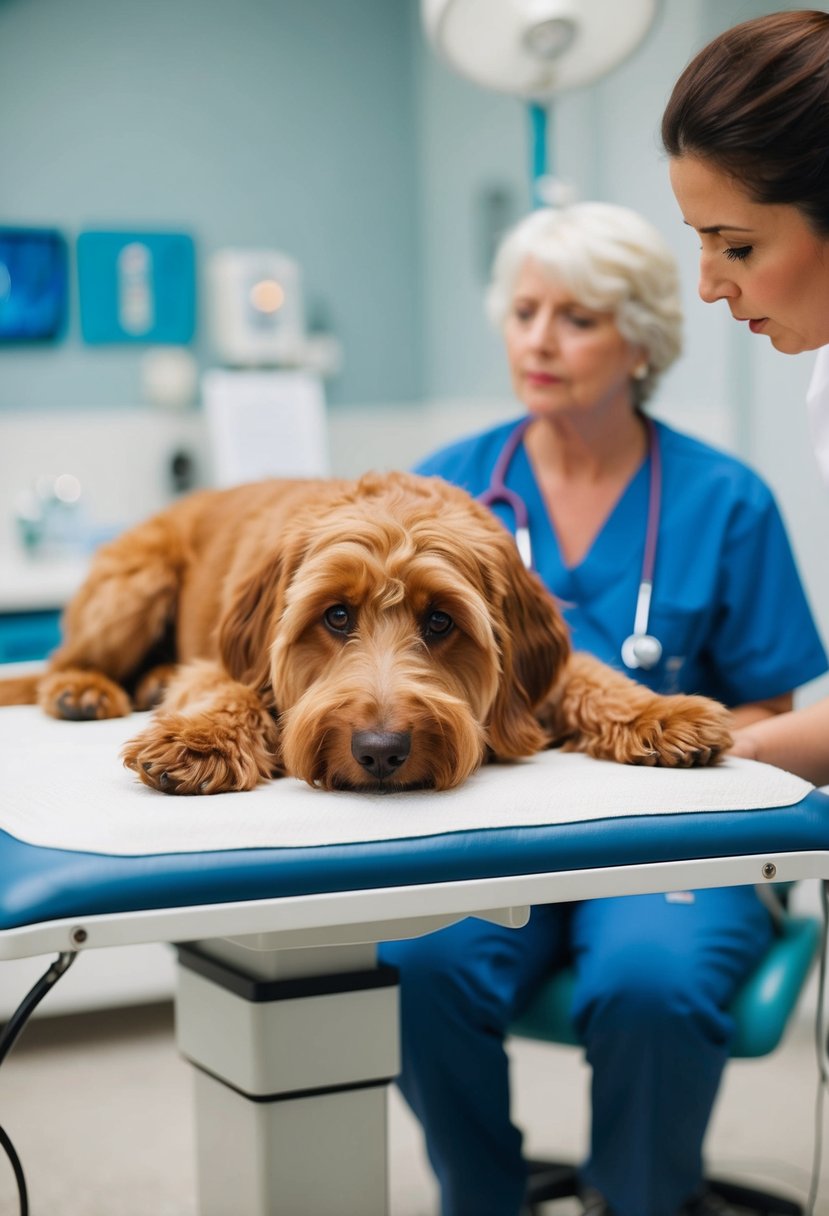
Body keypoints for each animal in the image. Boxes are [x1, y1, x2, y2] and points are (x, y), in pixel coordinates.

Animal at [0, 469, 729, 792]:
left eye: (440, 620)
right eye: (336, 615)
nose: (381, 751)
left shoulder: (534, 671)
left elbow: (593, 675)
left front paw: (663, 714)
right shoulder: (224, 663)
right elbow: (229, 692)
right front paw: (199, 740)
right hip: (134, 582)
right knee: (64, 660)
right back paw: (84, 690)